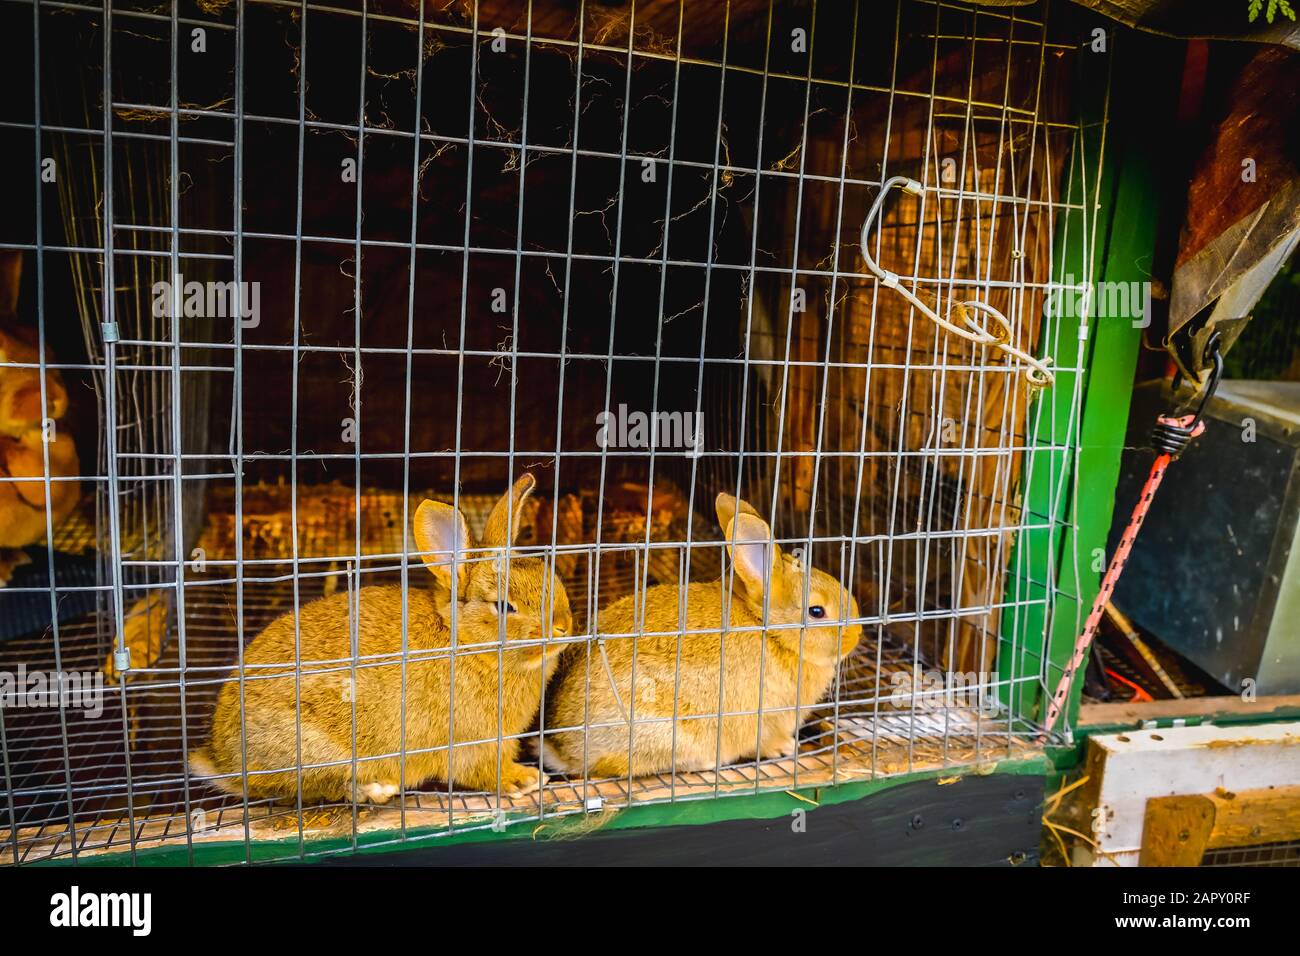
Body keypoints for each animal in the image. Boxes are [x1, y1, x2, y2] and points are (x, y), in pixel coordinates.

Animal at [189, 473, 573, 803]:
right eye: (505, 606)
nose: (563, 627)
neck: (465, 642)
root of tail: (222, 758)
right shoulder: (471, 745)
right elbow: (485, 771)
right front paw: (524, 780)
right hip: (316, 749)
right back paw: (376, 789)